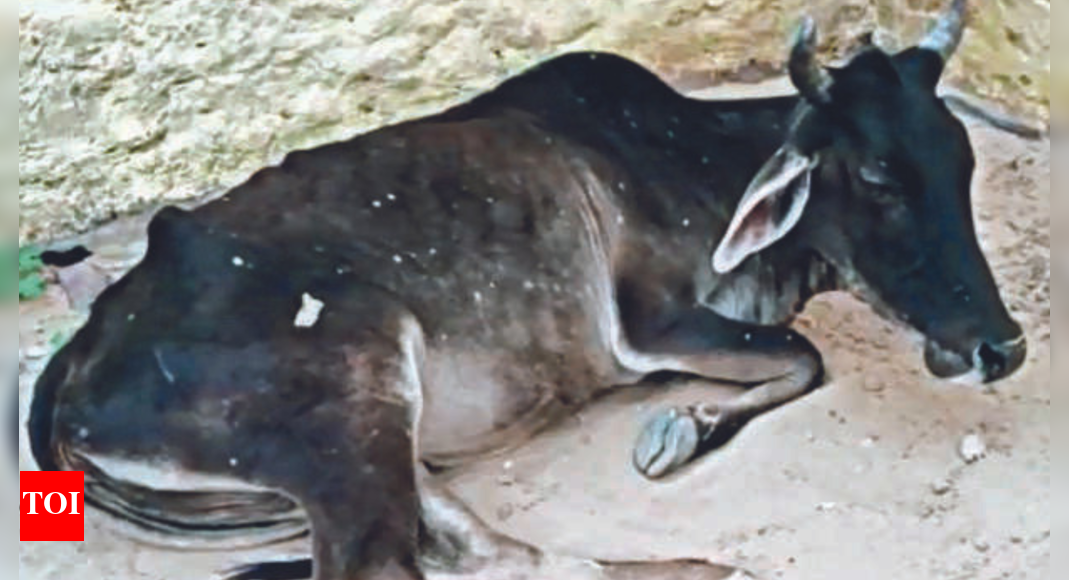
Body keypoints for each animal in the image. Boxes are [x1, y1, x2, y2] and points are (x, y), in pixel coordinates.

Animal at [27, 1, 1026, 578]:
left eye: (962, 160)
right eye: (878, 178)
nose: (1000, 346)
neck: (696, 154)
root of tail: (78, 361)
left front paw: (682, 427)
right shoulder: (651, 323)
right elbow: (805, 356)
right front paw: (676, 428)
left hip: (388, 446)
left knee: (495, 551)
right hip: (352, 390)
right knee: (388, 567)